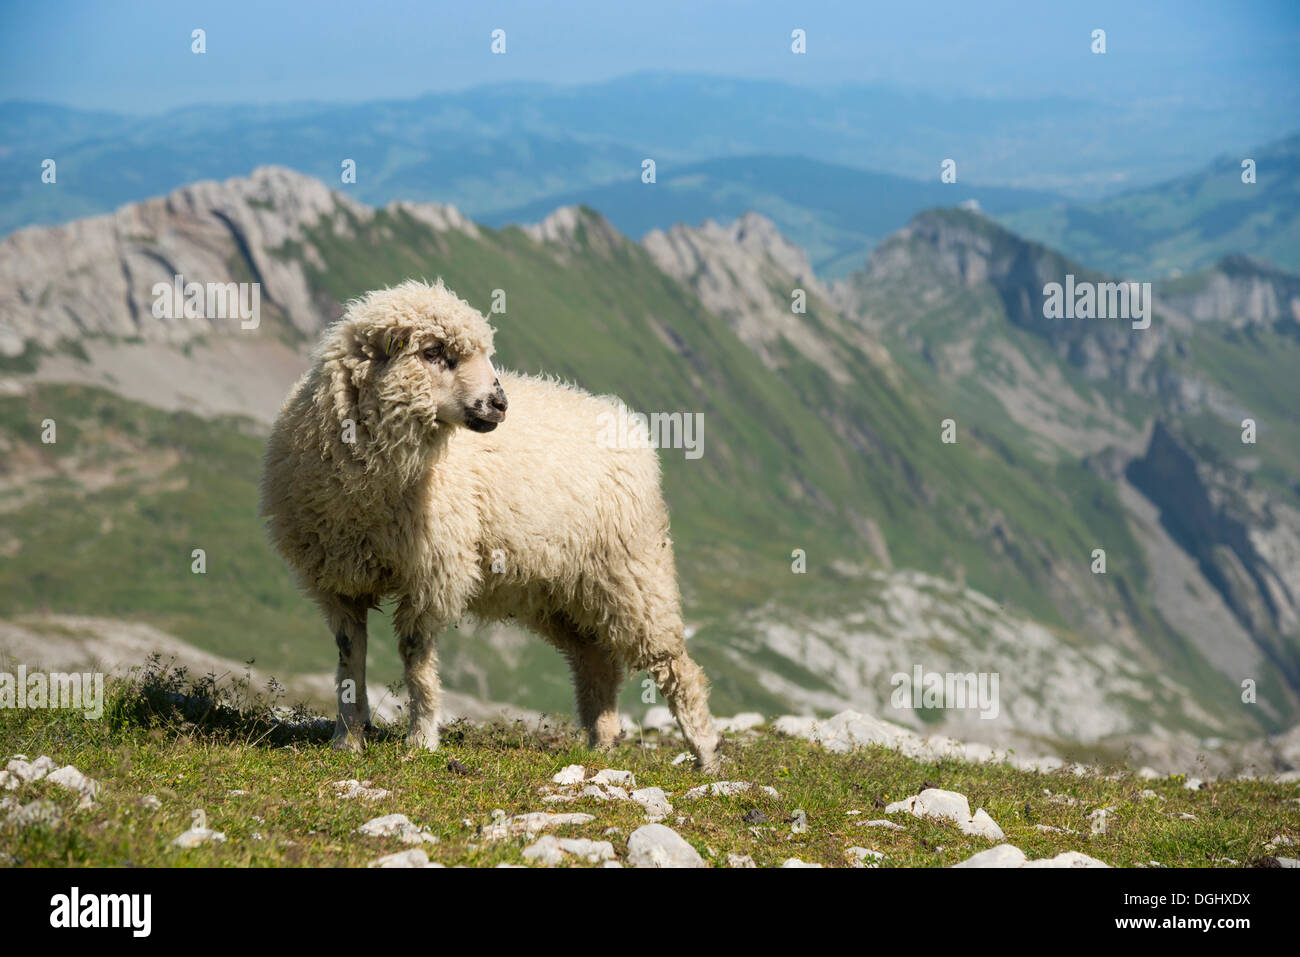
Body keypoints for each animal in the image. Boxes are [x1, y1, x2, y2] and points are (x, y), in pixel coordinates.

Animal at [259, 280, 720, 773]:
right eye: (434, 352)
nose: (499, 404)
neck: (372, 486)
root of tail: (625, 421)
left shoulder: (433, 572)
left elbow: (416, 660)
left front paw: (420, 741)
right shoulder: (337, 579)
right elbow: (350, 659)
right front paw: (347, 739)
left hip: (635, 572)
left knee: (678, 666)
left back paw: (707, 755)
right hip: (562, 589)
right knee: (595, 662)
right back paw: (603, 744)